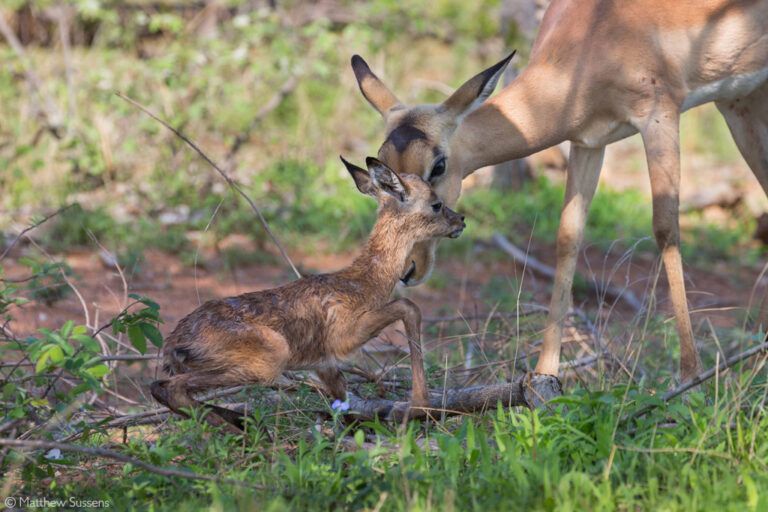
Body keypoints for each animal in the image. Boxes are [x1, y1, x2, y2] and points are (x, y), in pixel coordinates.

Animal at [150, 157, 466, 433]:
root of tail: (172, 346)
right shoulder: (343, 336)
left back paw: (248, 424)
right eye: (436, 204)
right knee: (169, 388)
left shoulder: (324, 364)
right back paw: (246, 433)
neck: (365, 283)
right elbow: (409, 305)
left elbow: (345, 404)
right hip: (271, 357)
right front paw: (420, 408)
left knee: (162, 388)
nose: (461, 220)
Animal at [351, 0, 768, 390]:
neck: (597, 31)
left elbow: (666, 228)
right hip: (742, 102)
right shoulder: (588, 141)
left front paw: (690, 375)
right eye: (380, 178)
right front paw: (544, 373)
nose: (409, 269)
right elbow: (568, 237)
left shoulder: (660, 116)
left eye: (438, 165)